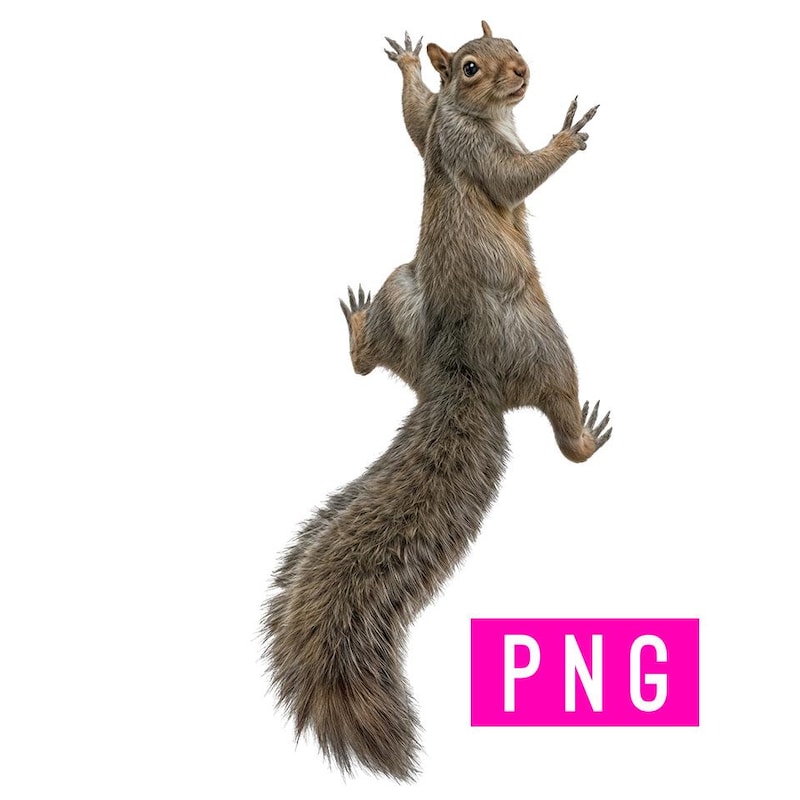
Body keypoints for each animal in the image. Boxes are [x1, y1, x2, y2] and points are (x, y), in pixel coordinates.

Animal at [262, 21, 611, 782]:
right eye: (473, 67)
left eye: (513, 42)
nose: (523, 72)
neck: (482, 116)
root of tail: (458, 374)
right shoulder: (475, 152)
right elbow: (516, 177)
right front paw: (565, 137)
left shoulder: (431, 134)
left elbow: (413, 120)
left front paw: (406, 64)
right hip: (544, 342)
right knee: (561, 412)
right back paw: (585, 436)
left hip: (403, 294)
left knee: (373, 363)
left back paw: (360, 335)